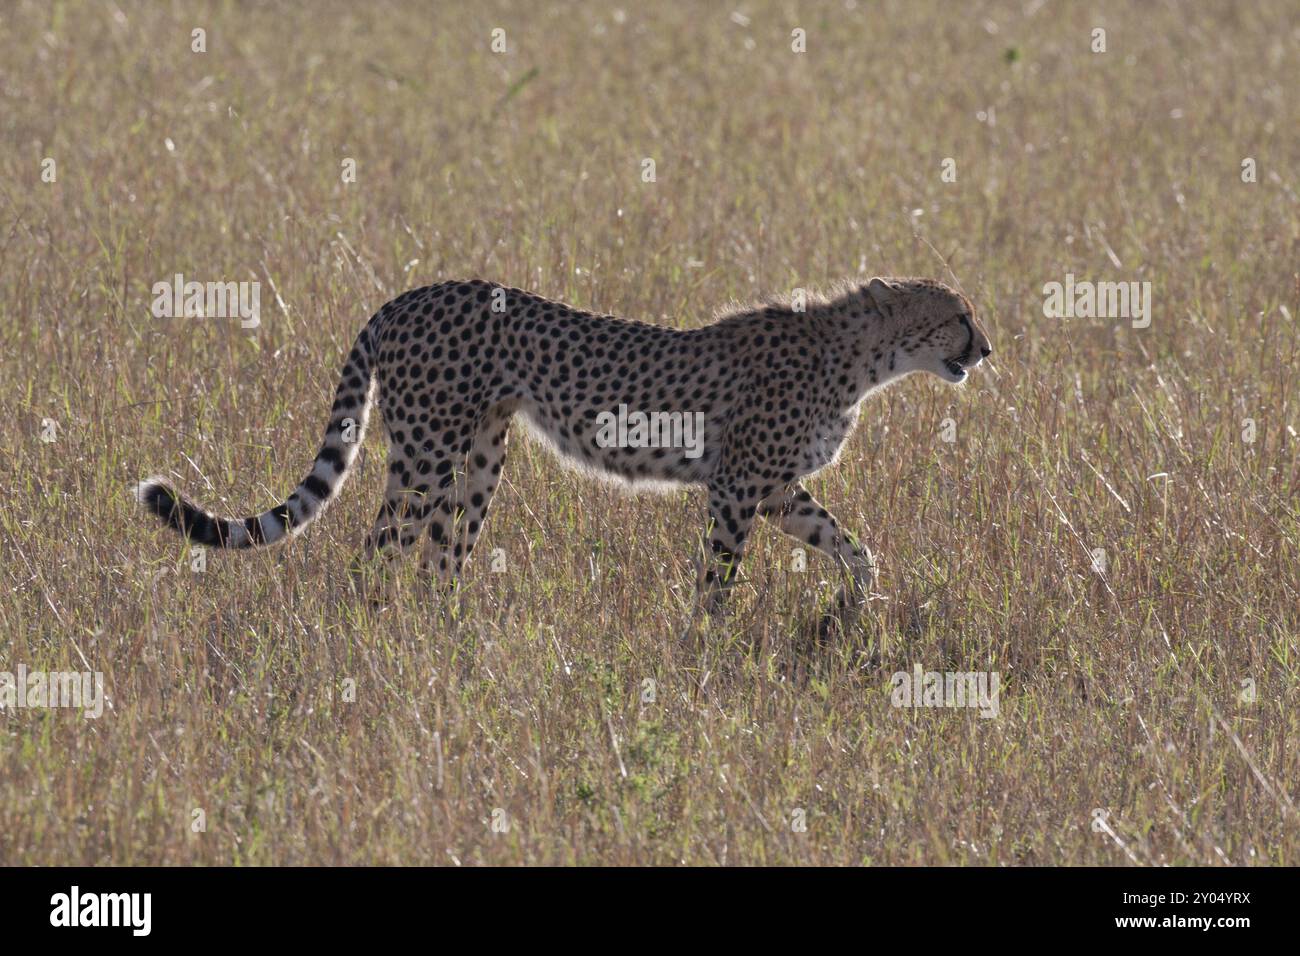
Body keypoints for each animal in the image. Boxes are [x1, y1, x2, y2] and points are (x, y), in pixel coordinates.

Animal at [135, 276, 992, 629]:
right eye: (958, 315)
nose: (986, 348)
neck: (861, 358)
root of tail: (410, 295)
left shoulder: (776, 489)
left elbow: (855, 548)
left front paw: (852, 610)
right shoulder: (738, 487)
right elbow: (717, 582)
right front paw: (704, 652)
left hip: (481, 458)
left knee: (438, 563)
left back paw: (445, 645)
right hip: (424, 453)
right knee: (376, 556)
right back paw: (367, 649)